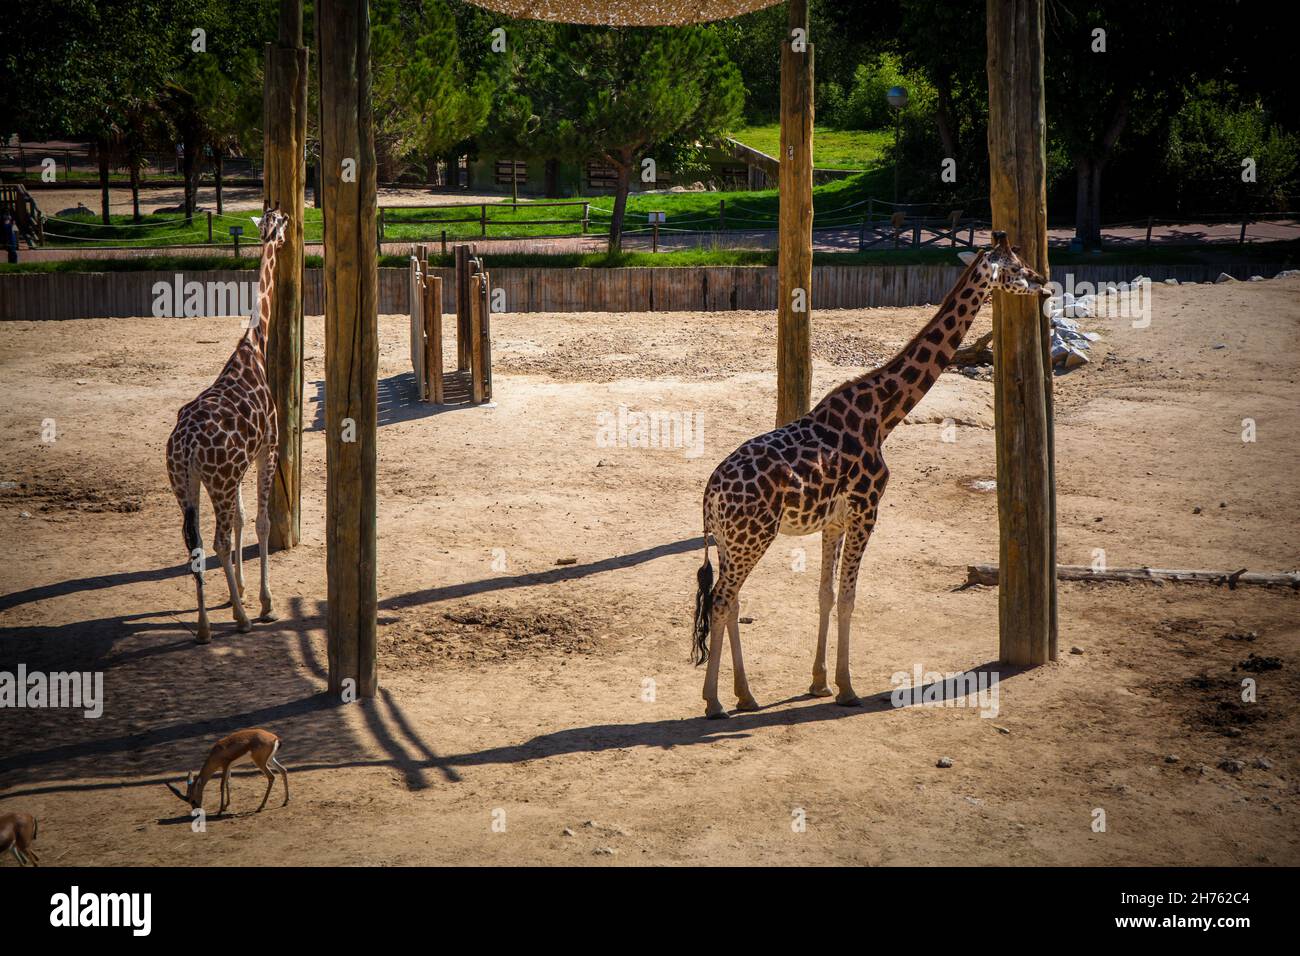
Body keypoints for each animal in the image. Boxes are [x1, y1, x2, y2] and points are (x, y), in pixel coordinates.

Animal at [166, 205, 290, 643]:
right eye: (281, 223)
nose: (285, 234)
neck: (254, 343)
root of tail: (185, 446)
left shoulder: (238, 468)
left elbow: (240, 518)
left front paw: (241, 591)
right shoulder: (268, 446)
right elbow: (261, 521)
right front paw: (265, 602)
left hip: (184, 482)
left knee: (195, 540)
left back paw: (204, 627)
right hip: (215, 479)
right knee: (215, 539)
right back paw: (241, 619)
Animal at [691, 232, 1046, 718]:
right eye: (1015, 267)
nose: (1044, 282)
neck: (882, 414)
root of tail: (710, 495)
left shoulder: (834, 521)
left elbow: (825, 594)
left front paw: (819, 682)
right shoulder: (866, 511)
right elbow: (849, 598)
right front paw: (846, 688)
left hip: (732, 543)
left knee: (730, 601)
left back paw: (745, 695)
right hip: (752, 539)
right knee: (723, 600)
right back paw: (714, 702)